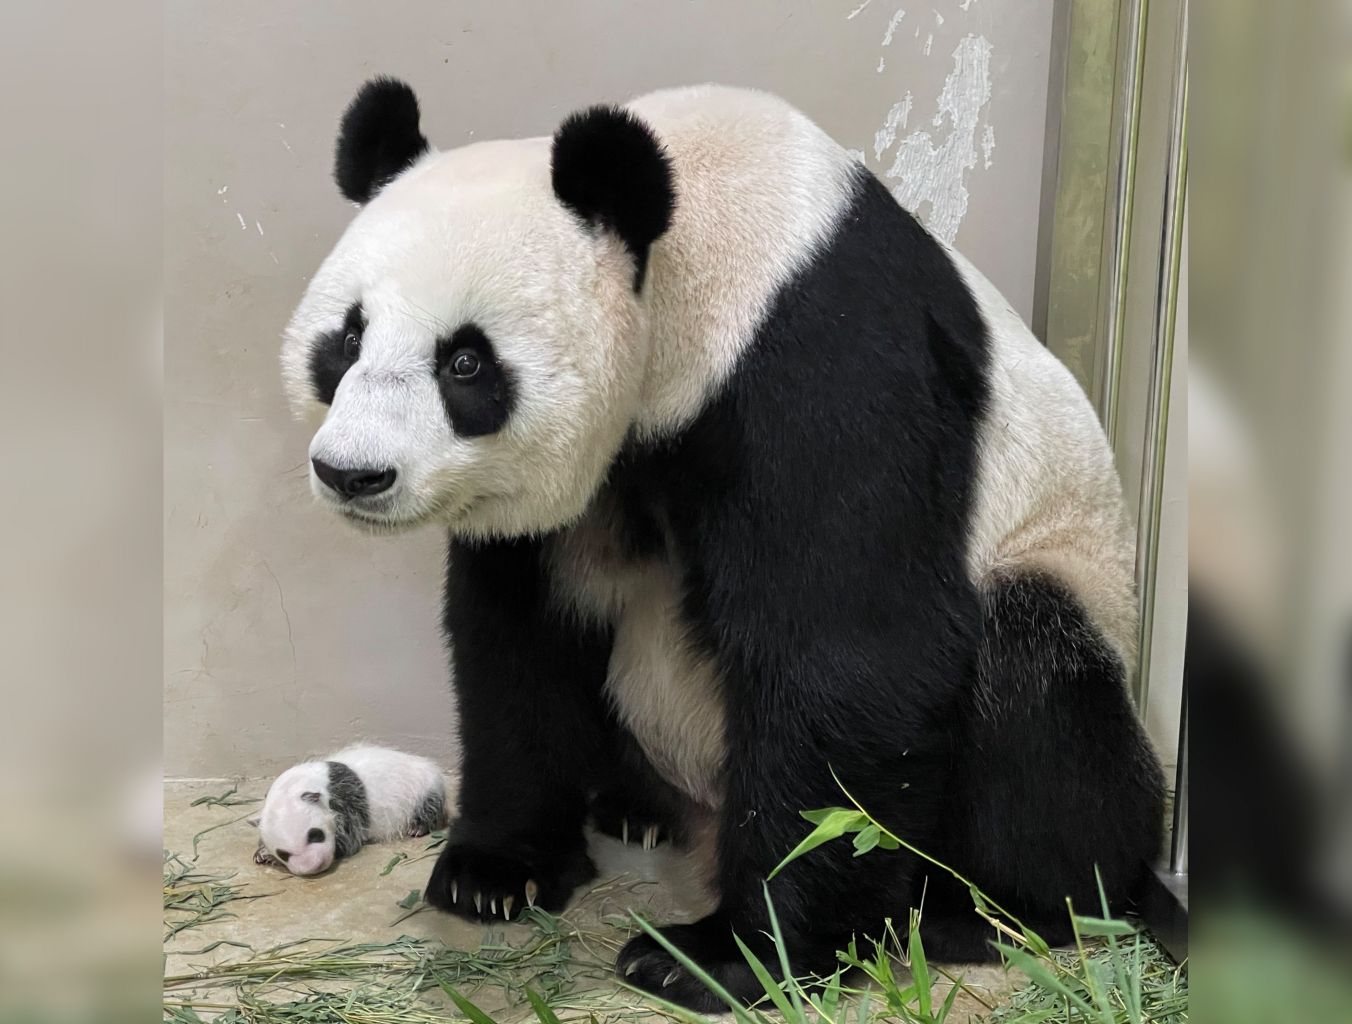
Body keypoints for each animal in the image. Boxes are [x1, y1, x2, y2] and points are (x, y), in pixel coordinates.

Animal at [281, 78, 1164, 1010]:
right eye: (347, 338)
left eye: (465, 363)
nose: (353, 473)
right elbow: (517, 630)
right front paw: (496, 870)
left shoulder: (822, 368)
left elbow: (847, 655)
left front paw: (720, 954)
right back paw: (632, 806)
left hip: (1058, 577)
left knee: (1038, 696)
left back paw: (993, 910)